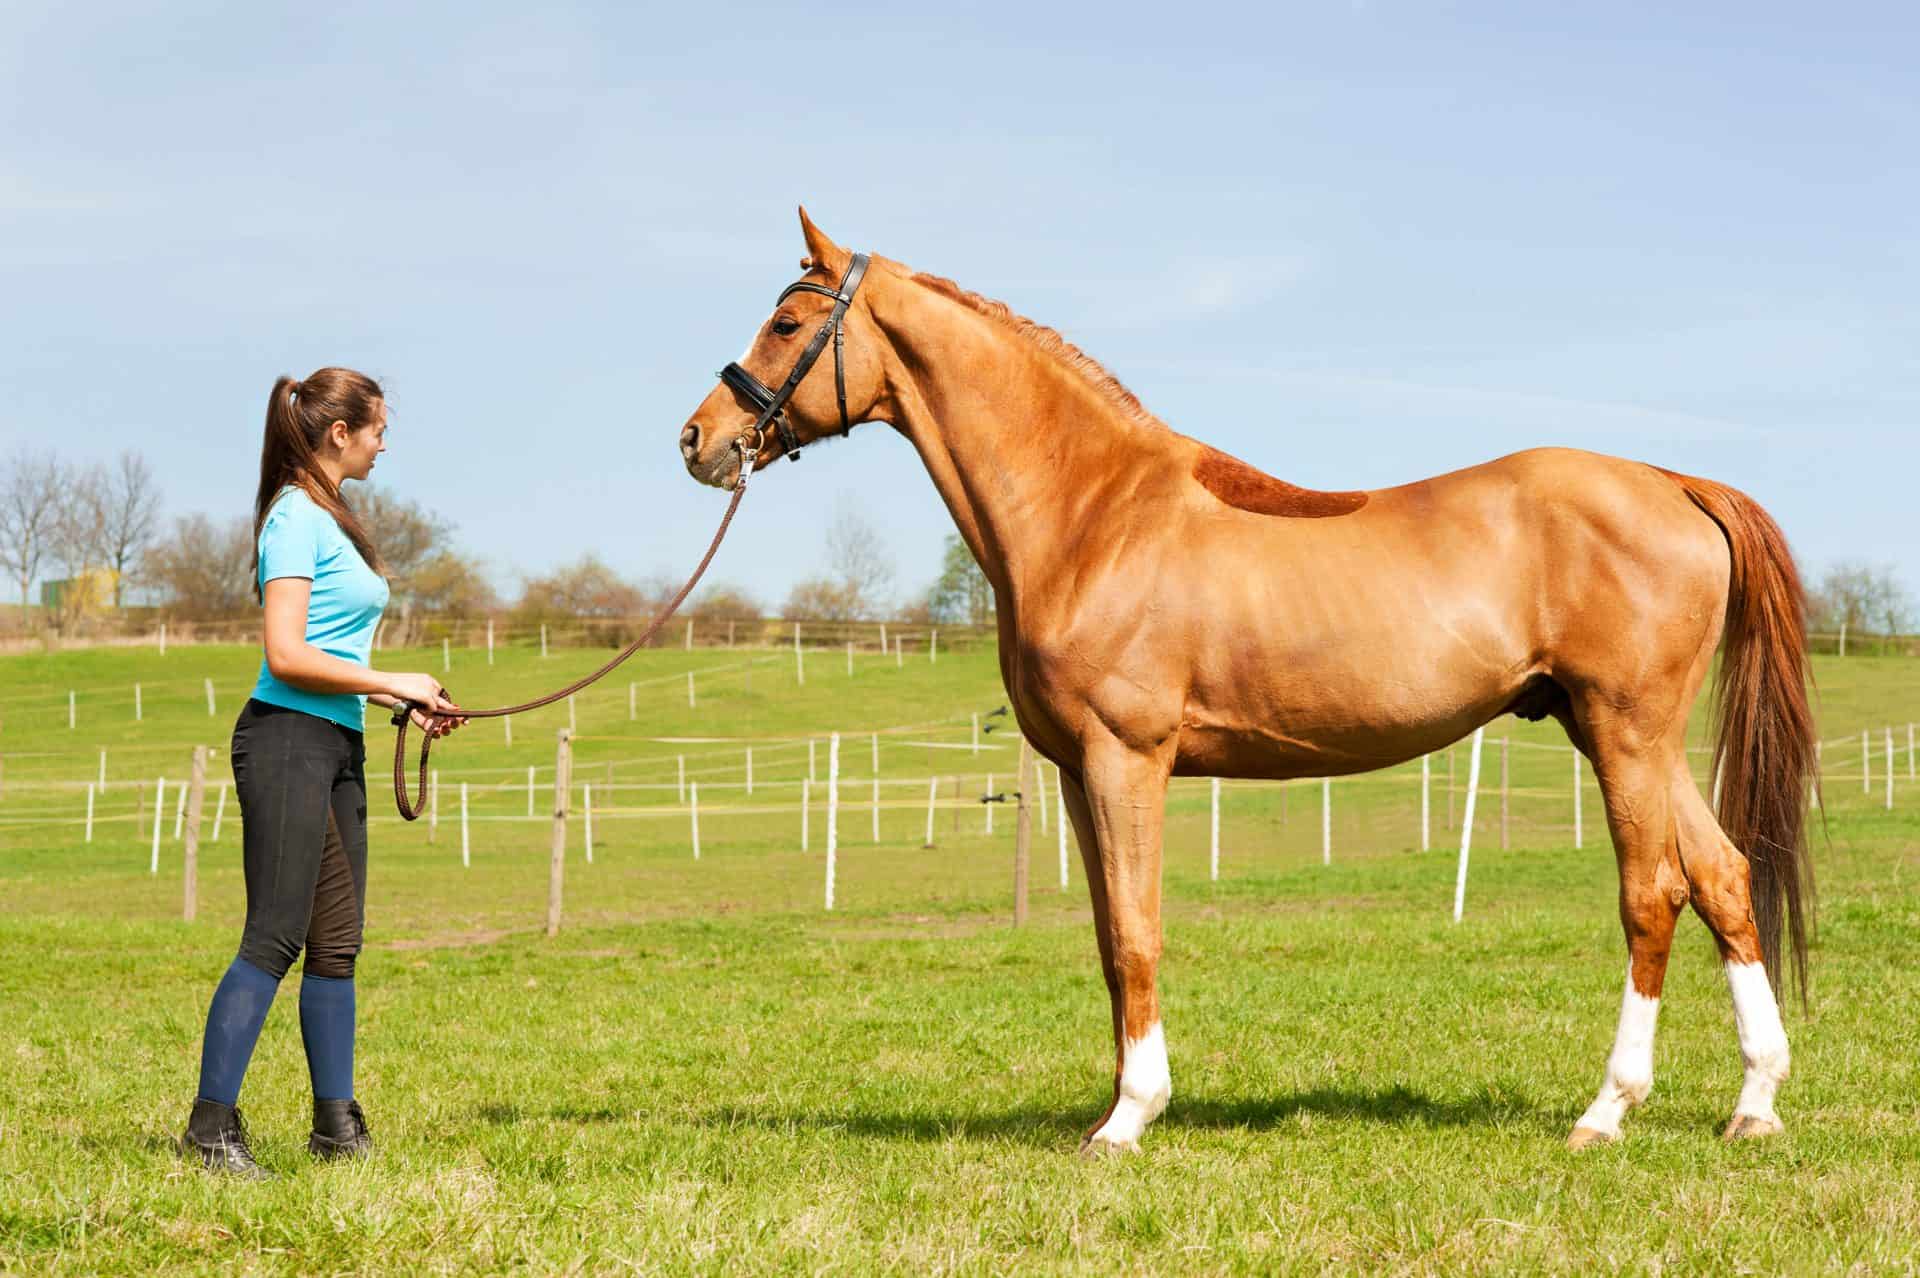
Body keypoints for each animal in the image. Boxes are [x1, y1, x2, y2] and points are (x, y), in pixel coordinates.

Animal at [678, 209, 1817, 1154]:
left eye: (787, 321)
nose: (701, 440)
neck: (1094, 513)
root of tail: (1675, 483)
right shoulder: (1073, 773)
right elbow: (1109, 938)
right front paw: (1118, 1102)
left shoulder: (1126, 759)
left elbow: (1139, 932)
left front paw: (1128, 1121)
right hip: (1627, 735)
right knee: (1723, 878)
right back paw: (1755, 1104)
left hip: (1626, 733)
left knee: (1653, 894)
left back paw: (1607, 1111)